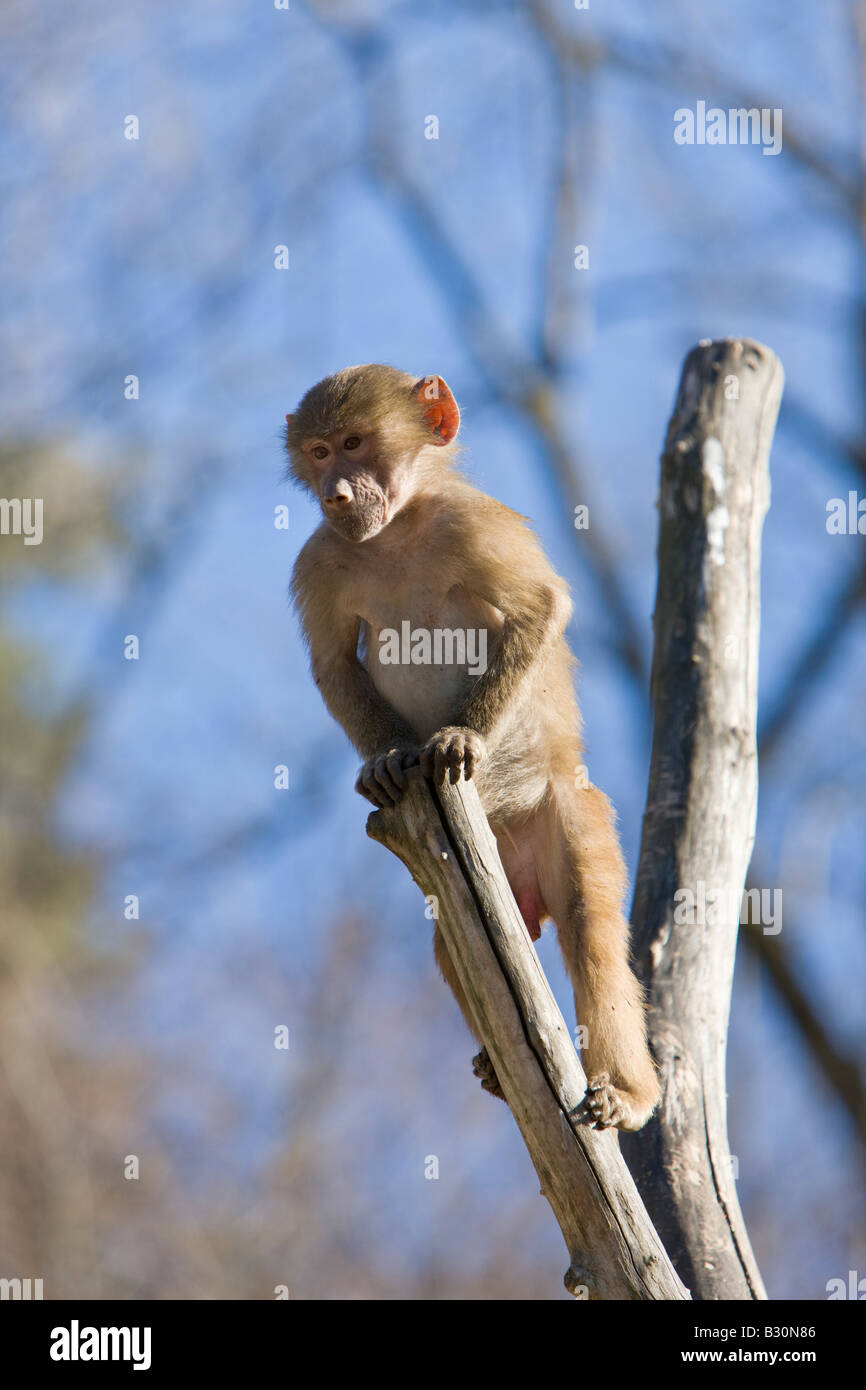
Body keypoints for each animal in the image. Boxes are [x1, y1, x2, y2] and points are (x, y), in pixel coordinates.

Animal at [286, 364, 660, 1131]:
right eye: (318, 452)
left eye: (355, 443)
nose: (338, 494)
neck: (394, 532)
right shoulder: (320, 557)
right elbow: (335, 666)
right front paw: (388, 760)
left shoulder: (474, 523)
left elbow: (540, 609)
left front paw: (460, 737)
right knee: (445, 938)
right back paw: (494, 1064)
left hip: (570, 814)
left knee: (590, 929)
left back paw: (629, 1093)